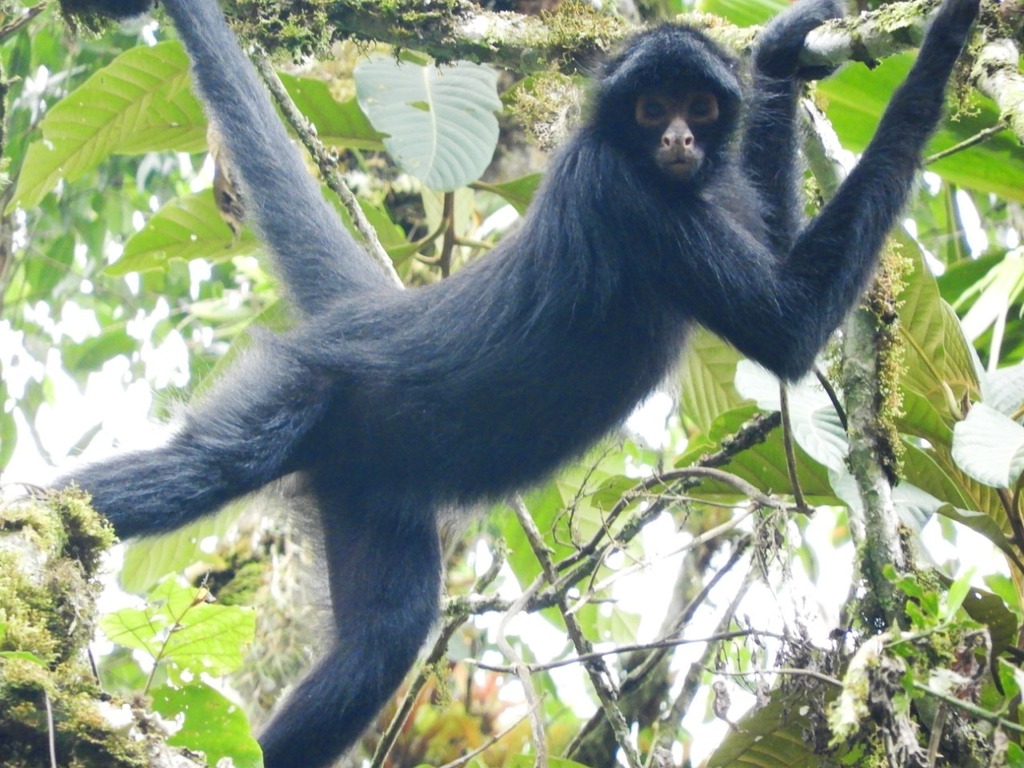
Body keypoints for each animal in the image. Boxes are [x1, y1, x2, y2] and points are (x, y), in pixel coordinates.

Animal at [54, 0, 980, 764]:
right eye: (652, 111)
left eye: (701, 107)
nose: (680, 142)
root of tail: (376, 313)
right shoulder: (622, 189)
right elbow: (787, 331)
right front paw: (950, 34)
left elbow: (784, 273)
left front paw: (784, 54)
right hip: (306, 387)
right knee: (214, 465)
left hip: (371, 483)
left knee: (382, 643)